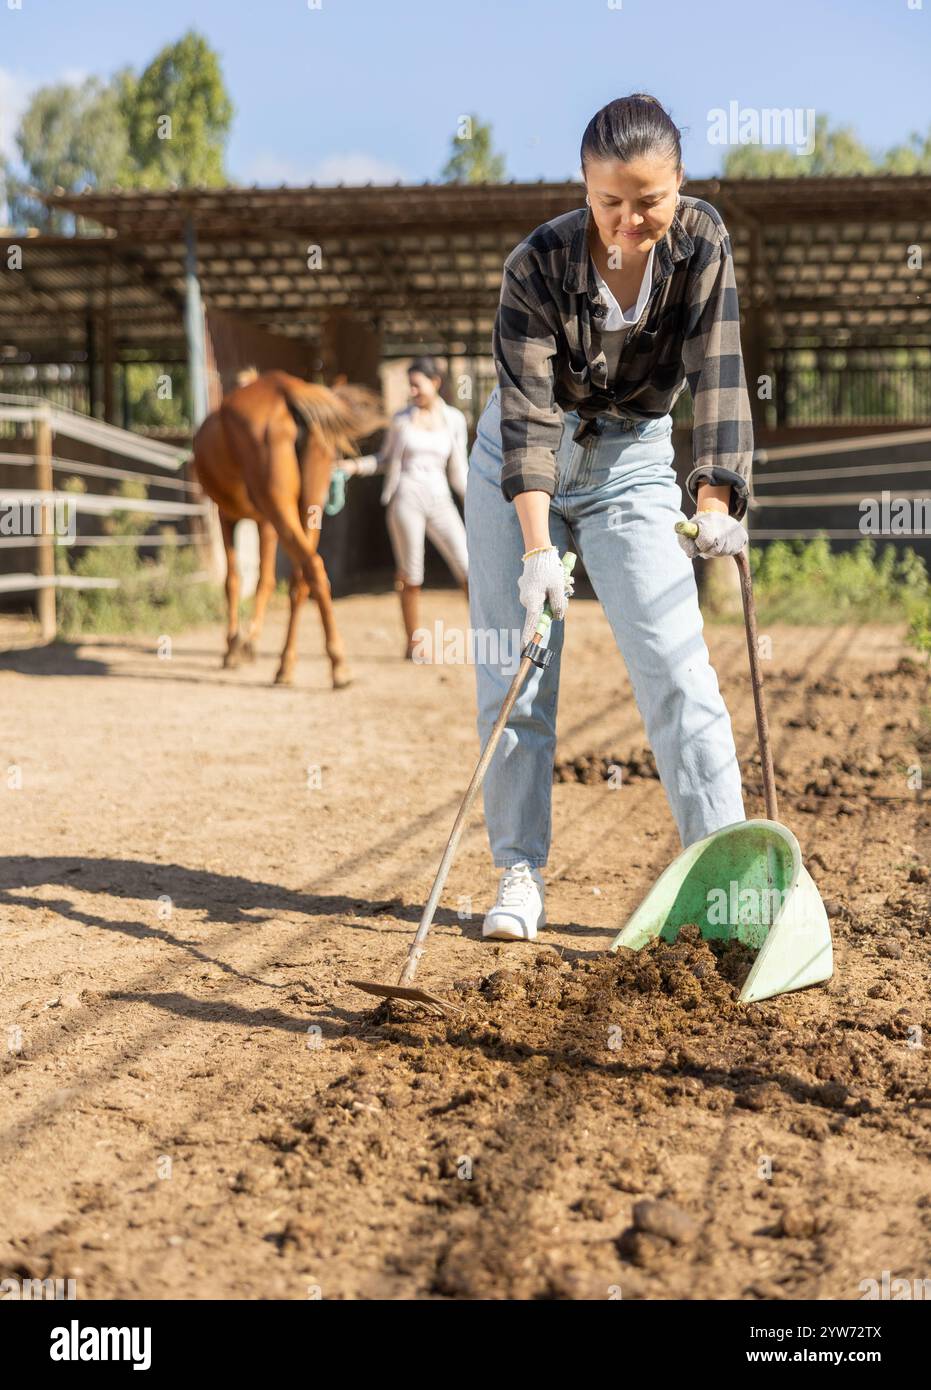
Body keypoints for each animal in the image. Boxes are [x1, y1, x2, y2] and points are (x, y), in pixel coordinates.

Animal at [192, 369, 388, 689]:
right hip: (309, 507)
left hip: (278, 507)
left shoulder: (228, 516)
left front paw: (234, 647)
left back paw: (337, 666)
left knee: (312, 567)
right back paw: (288, 664)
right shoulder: (265, 523)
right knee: (302, 579)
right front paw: (248, 644)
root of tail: (284, 389)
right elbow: (265, 580)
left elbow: (233, 580)